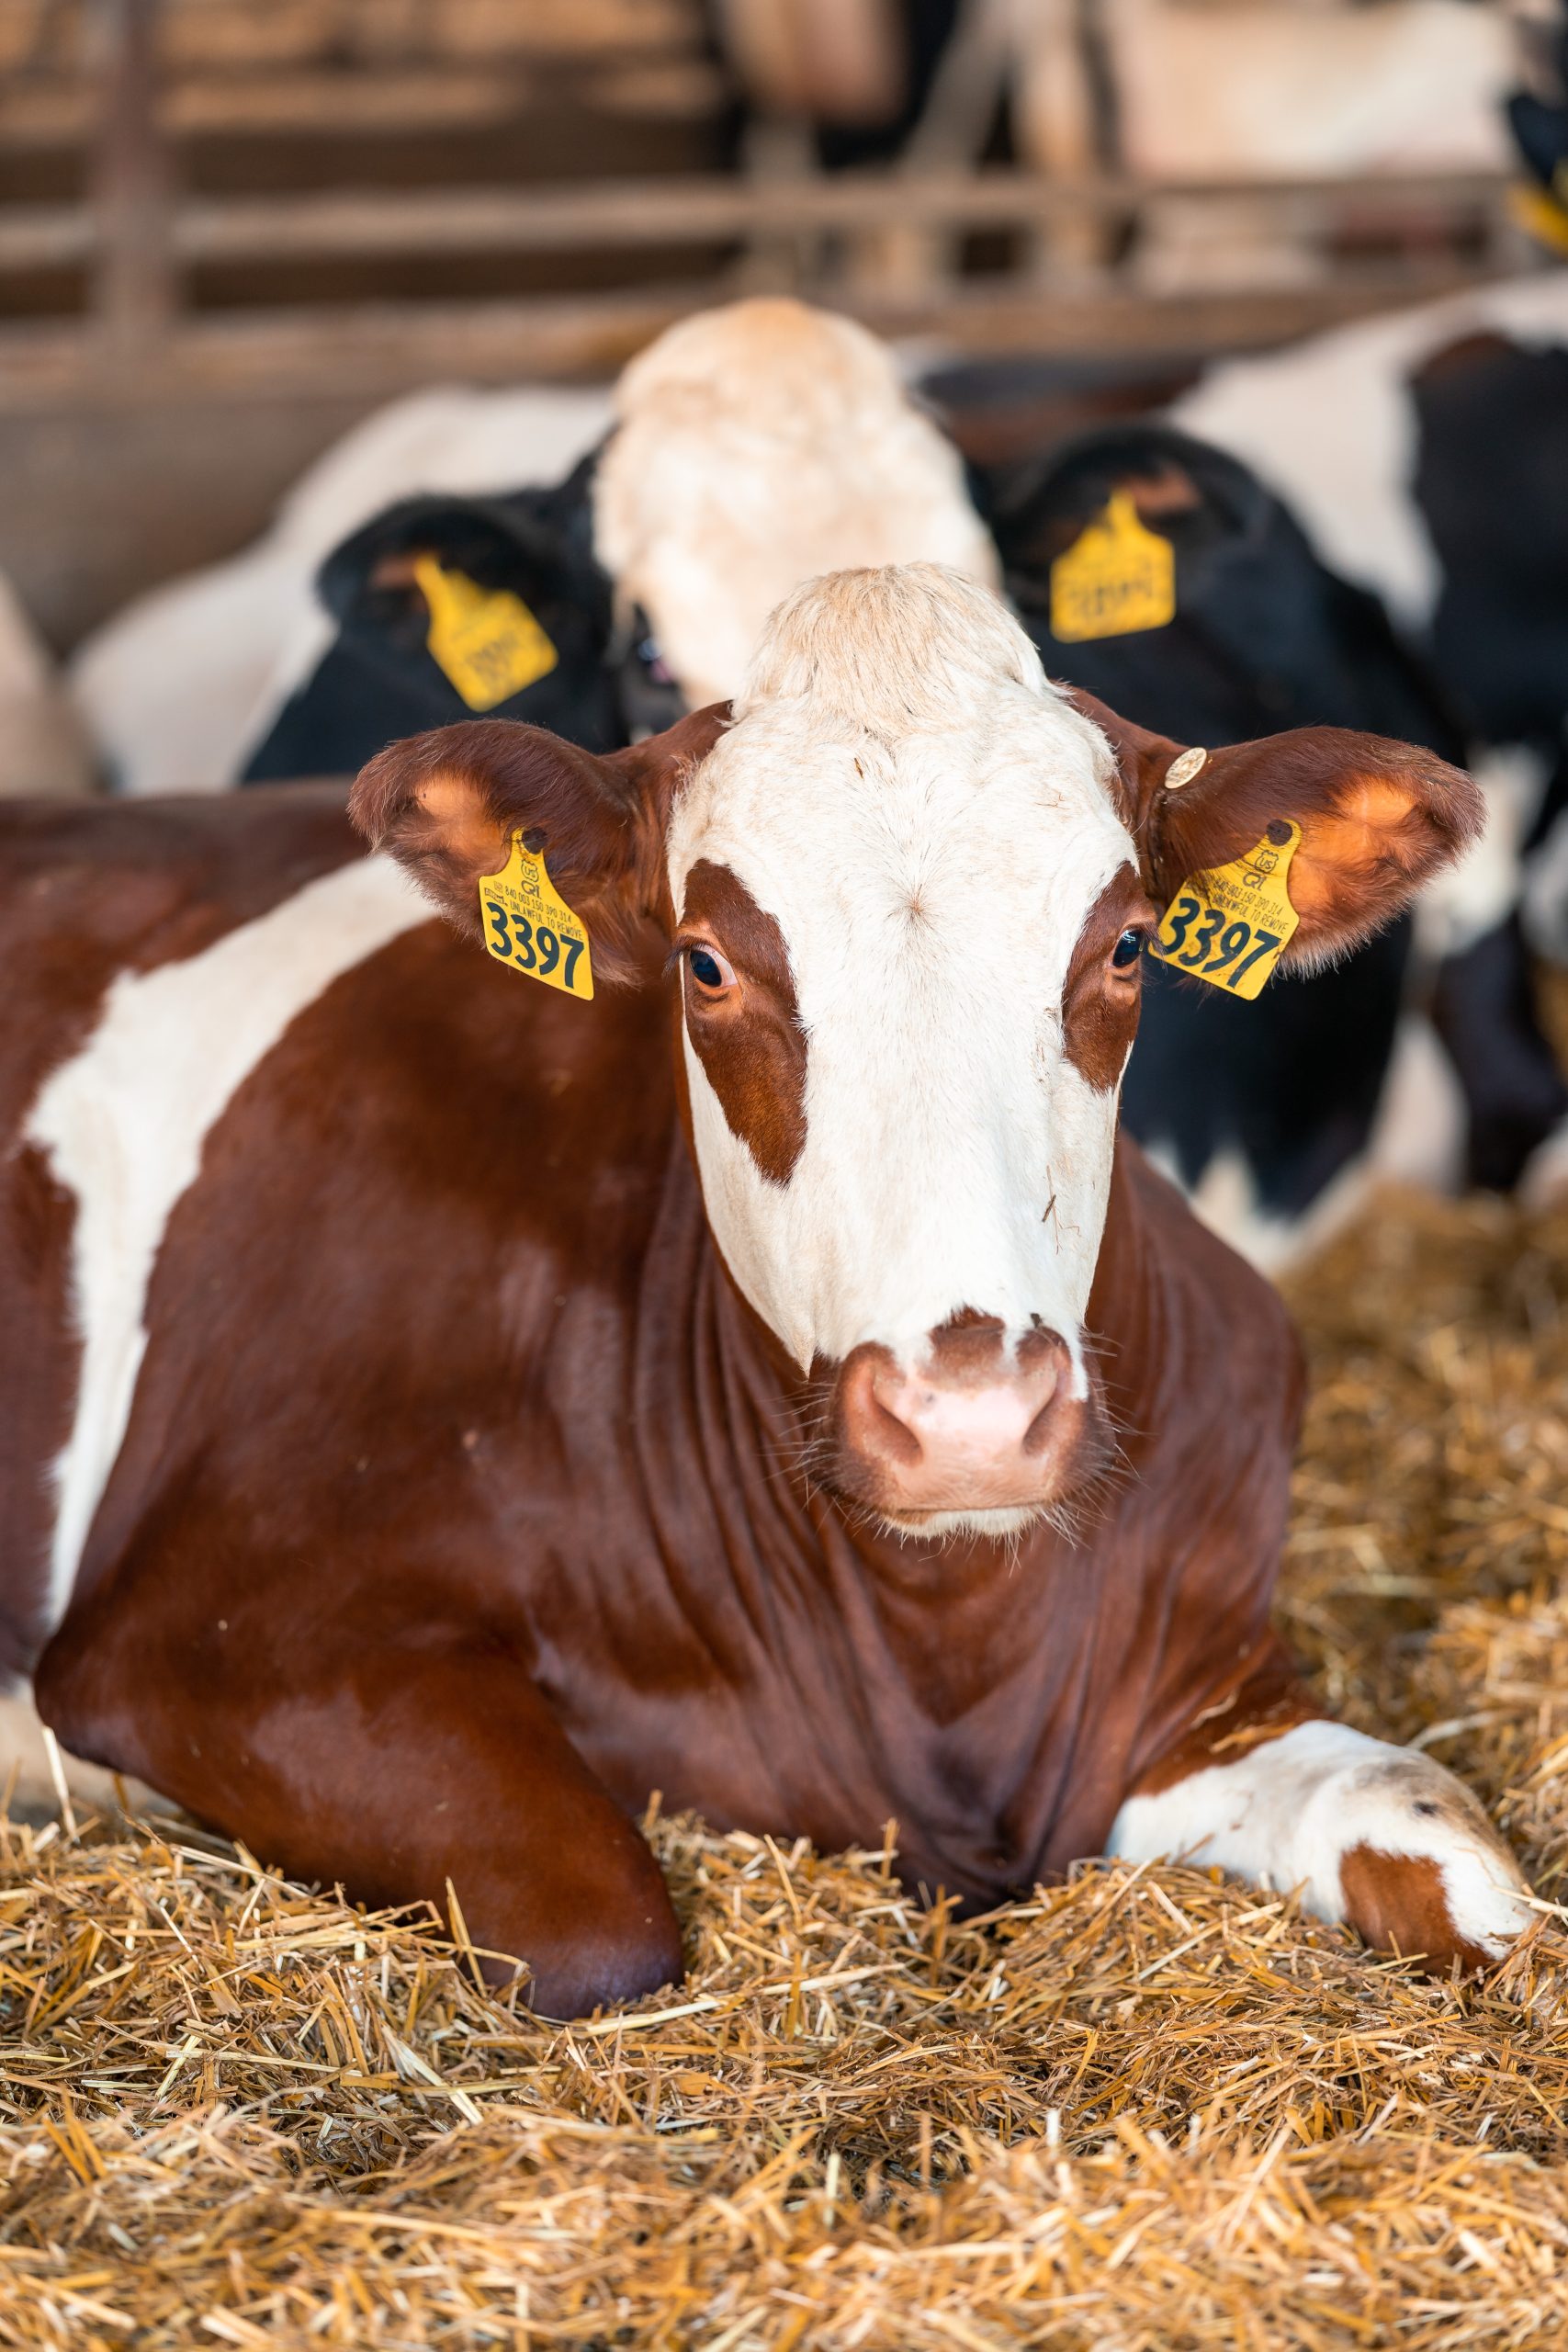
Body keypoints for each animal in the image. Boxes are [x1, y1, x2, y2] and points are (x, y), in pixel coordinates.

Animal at [2, 564, 1533, 2018]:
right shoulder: (215, 1634)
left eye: (1125, 947)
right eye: (704, 964)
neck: (942, 1663)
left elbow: (1464, 1865)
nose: (966, 1419)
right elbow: (596, 1922)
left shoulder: (1209, 1676)